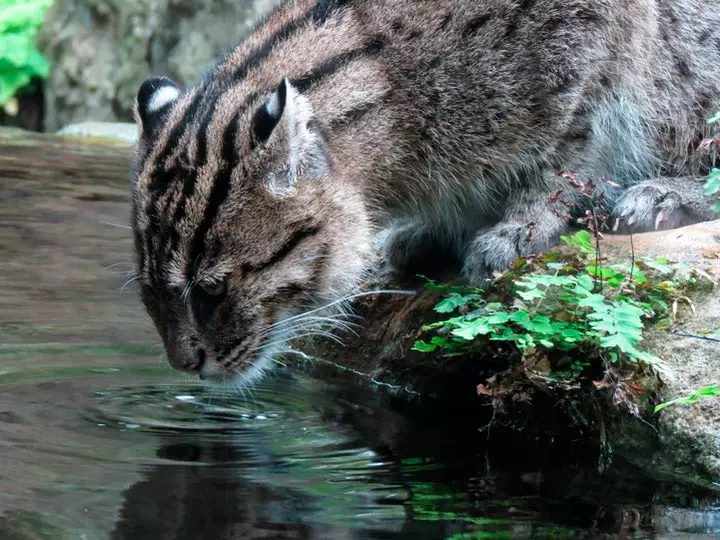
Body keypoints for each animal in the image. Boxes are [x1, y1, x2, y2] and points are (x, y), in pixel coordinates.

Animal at [129, 1, 720, 384]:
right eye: (149, 292)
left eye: (212, 290)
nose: (183, 366)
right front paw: (434, 231)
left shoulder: (599, 41)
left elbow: (571, 146)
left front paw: (523, 225)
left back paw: (662, 194)